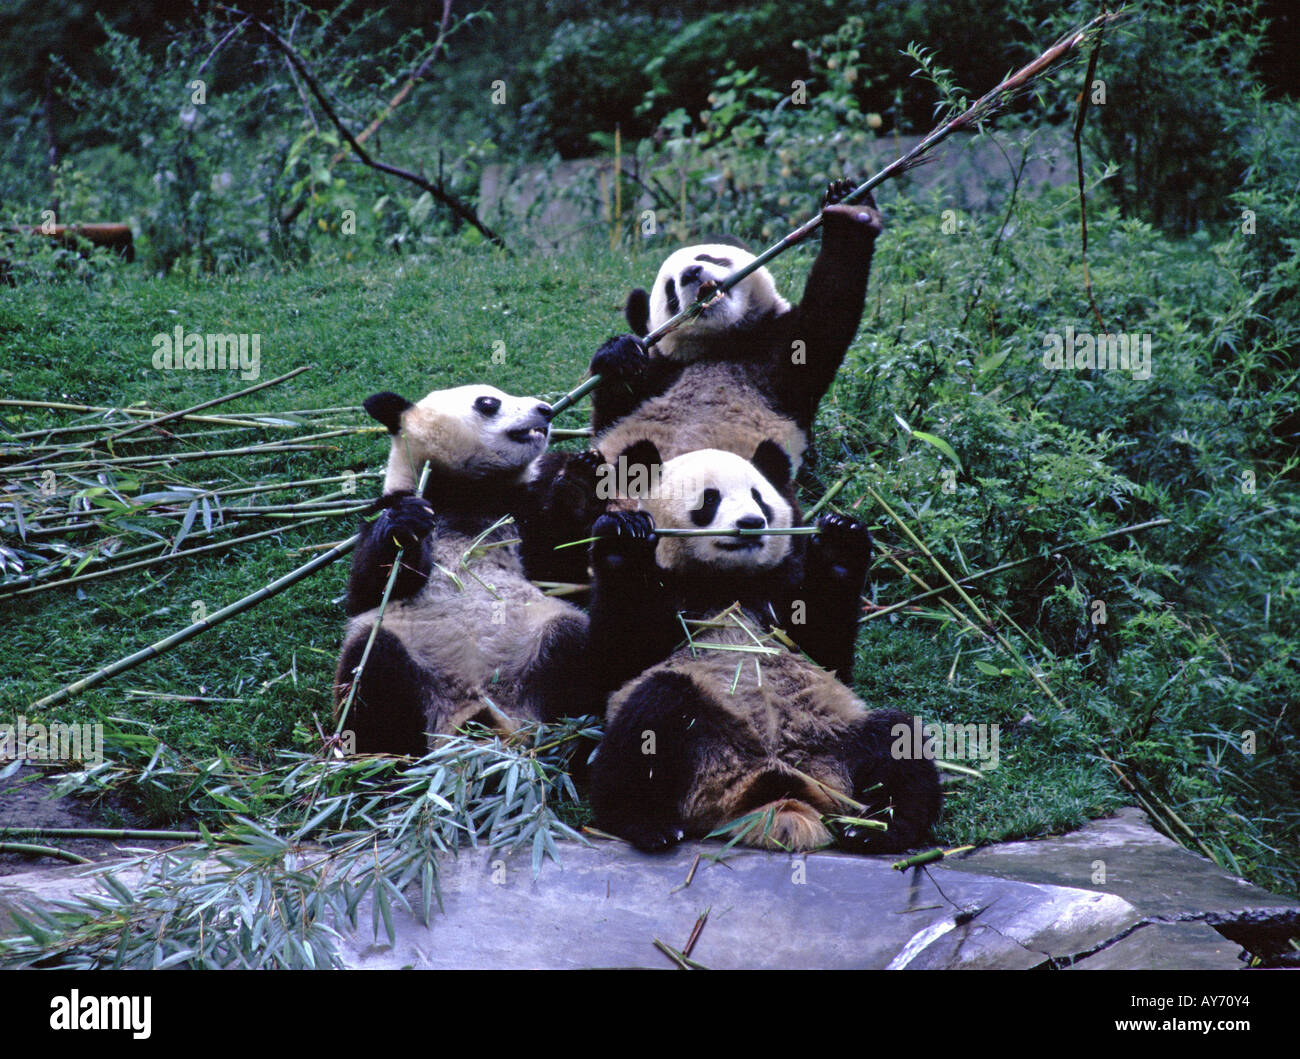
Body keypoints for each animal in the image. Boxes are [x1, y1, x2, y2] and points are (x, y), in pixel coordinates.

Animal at [334, 384, 600, 755]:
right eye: (488, 403)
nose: (546, 410)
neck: (468, 491)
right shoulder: (396, 501)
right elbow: (368, 589)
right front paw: (404, 524)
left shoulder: (519, 512)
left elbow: (559, 569)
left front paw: (577, 482)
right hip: (409, 657)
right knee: (372, 669)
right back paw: (385, 759)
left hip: (541, 645)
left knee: (576, 652)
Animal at [586, 441, 941, 854]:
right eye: (709, 499)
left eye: (759, 497)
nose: (752, 523)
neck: (728, 582)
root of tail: (771, 792)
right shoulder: (672, 595)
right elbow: (617, 661)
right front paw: (622, 535)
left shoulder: (778, 592)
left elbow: (827, 653)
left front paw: (840, 540)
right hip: (707, 743)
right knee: (652, 714)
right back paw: (646, 823)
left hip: (836, 740)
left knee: (897, 741)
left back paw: (877, 829)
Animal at [588, 179, 884, 474]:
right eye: (671, 290)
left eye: (708, 257)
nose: (690, 273)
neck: (723, 345)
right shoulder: (660, 376)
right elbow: (609, 415)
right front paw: (620, 354)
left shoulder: (780, 355)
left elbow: (827, 315)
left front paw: (848, 203)